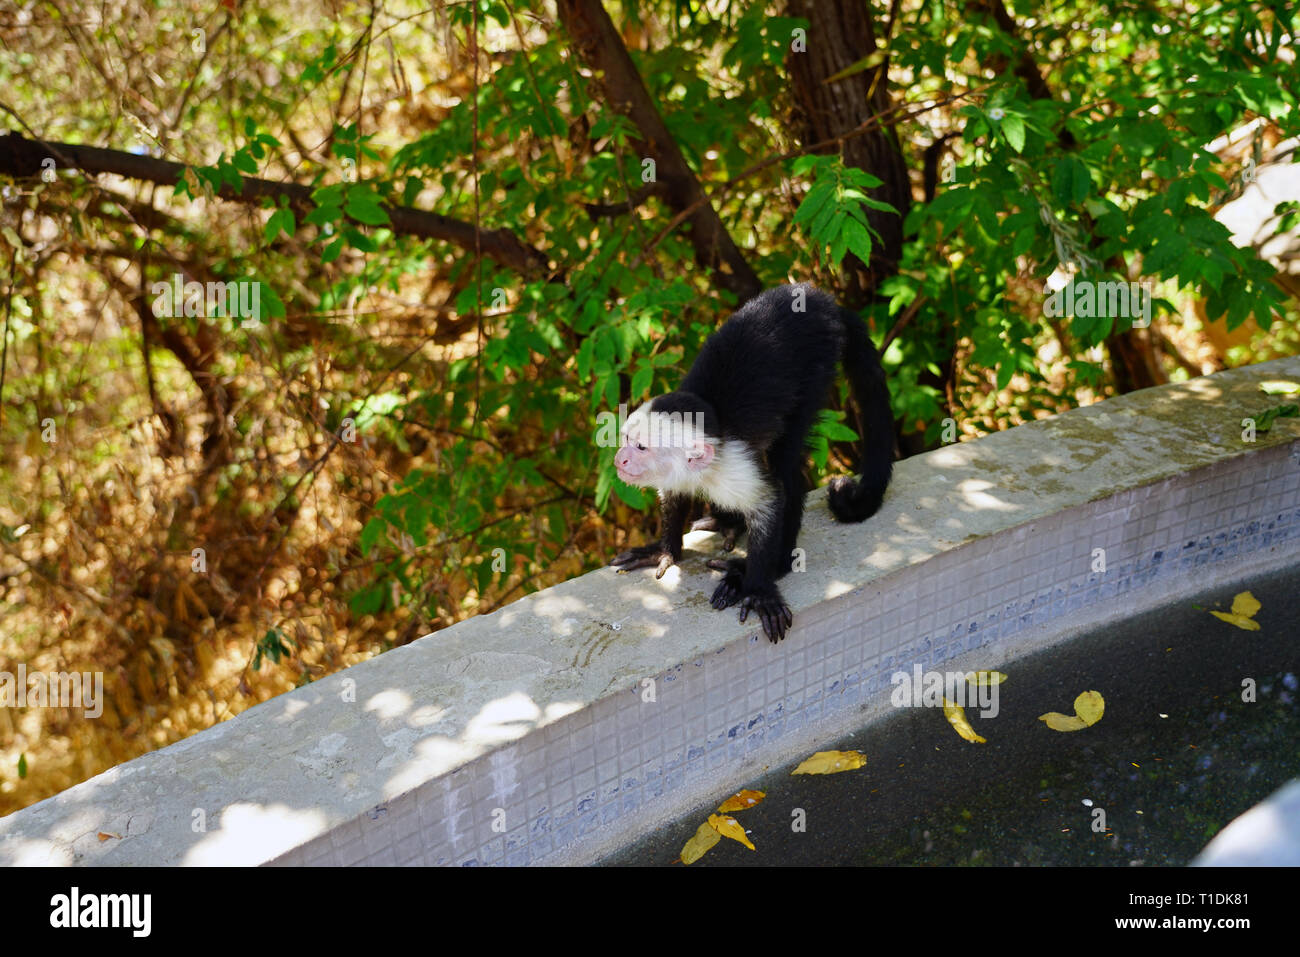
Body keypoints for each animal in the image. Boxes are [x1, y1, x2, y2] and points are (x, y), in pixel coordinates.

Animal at [609, 283, 893, 642]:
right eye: (626, 439)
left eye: (642, 447)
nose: (620, 458)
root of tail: (820, 299)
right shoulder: (680, 474)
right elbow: (673, 497)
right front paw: (666, 550)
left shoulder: (731, 465)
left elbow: (769, 500)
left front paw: (758, 589)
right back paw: (728, 524)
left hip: (819, 361)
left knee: (786, 463)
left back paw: (769, 566)